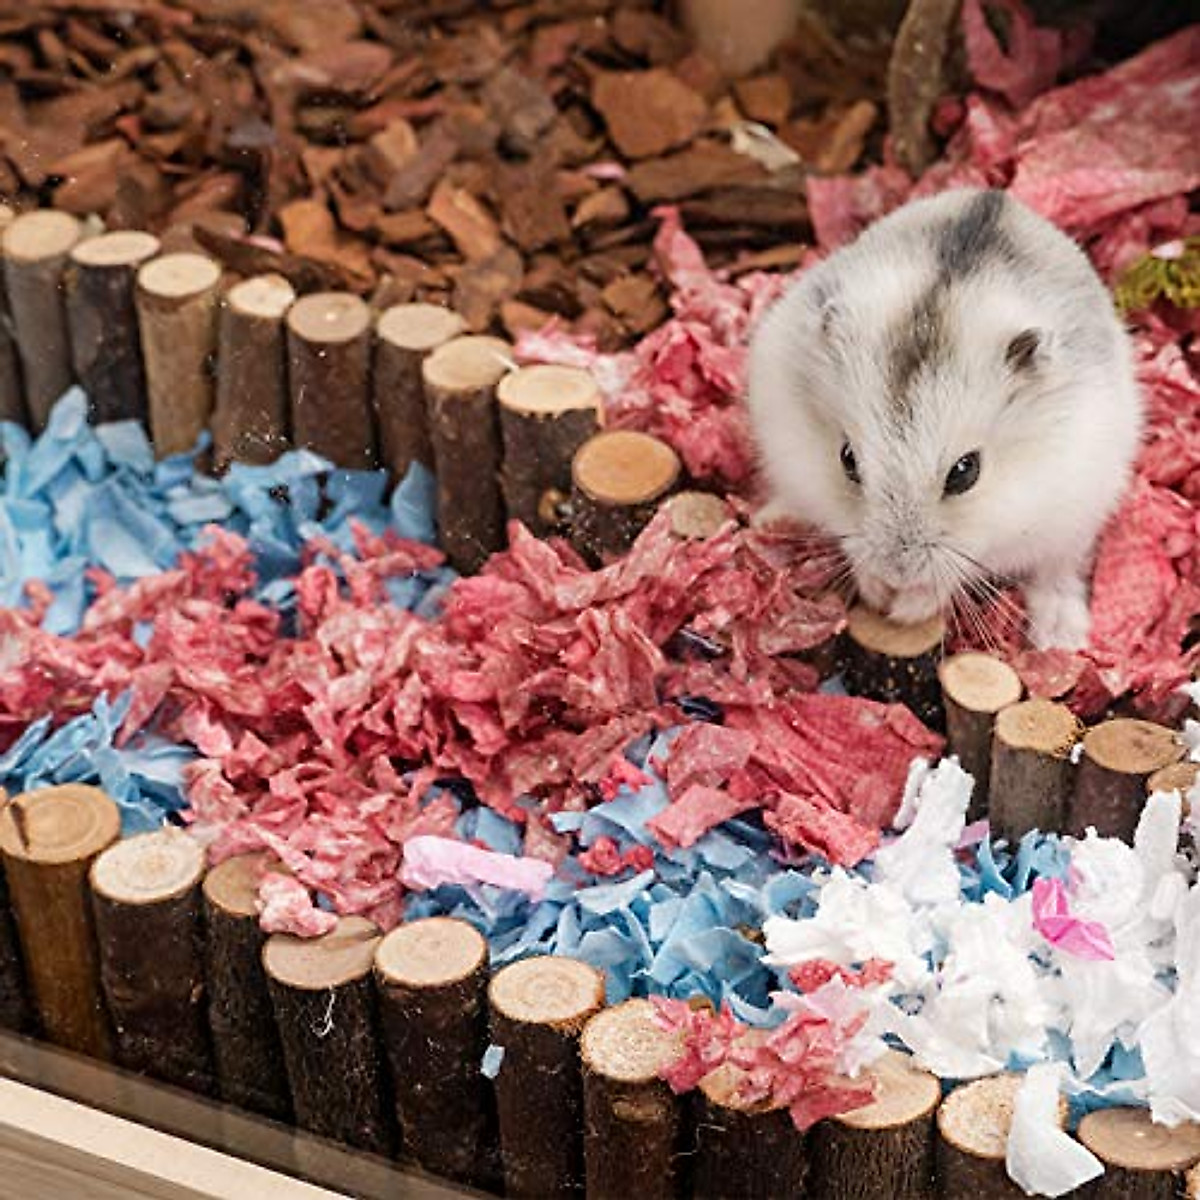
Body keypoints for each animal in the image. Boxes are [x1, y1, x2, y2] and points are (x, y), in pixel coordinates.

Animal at [747, 188, 1144, 651]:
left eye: (965, 472)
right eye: (847, 459)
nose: (896, 572)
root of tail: (998, 195)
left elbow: (959, 570)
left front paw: (903, 608)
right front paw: (878, 592)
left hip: (1078, 518)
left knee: (1057, 569)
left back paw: (1060, 639)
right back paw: (768, 519)